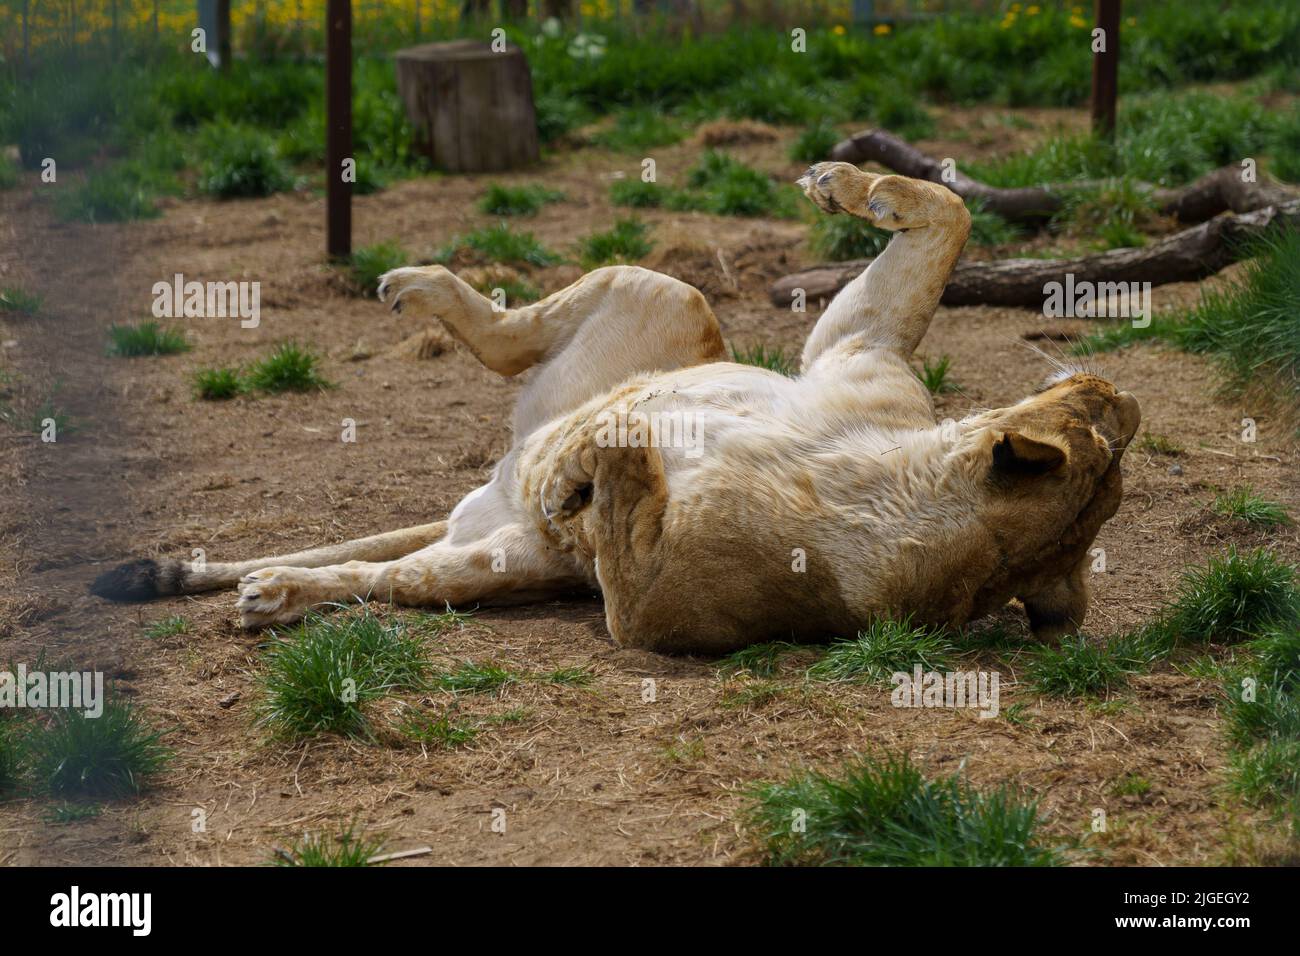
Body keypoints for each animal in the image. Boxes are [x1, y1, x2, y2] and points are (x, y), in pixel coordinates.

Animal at [91, 164, 1140, 654]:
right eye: (1094, 404)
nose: (1116, 387)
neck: (903, 469)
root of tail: (485, 495)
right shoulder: (858, 349)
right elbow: (946, 222)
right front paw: (852, 182)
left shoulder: (655, 609)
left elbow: (627, 473)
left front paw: (591, 472)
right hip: (668, 291)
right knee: (511, 333)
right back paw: (415, 289)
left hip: (492, 561)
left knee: (387, 577)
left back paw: (277, 592)